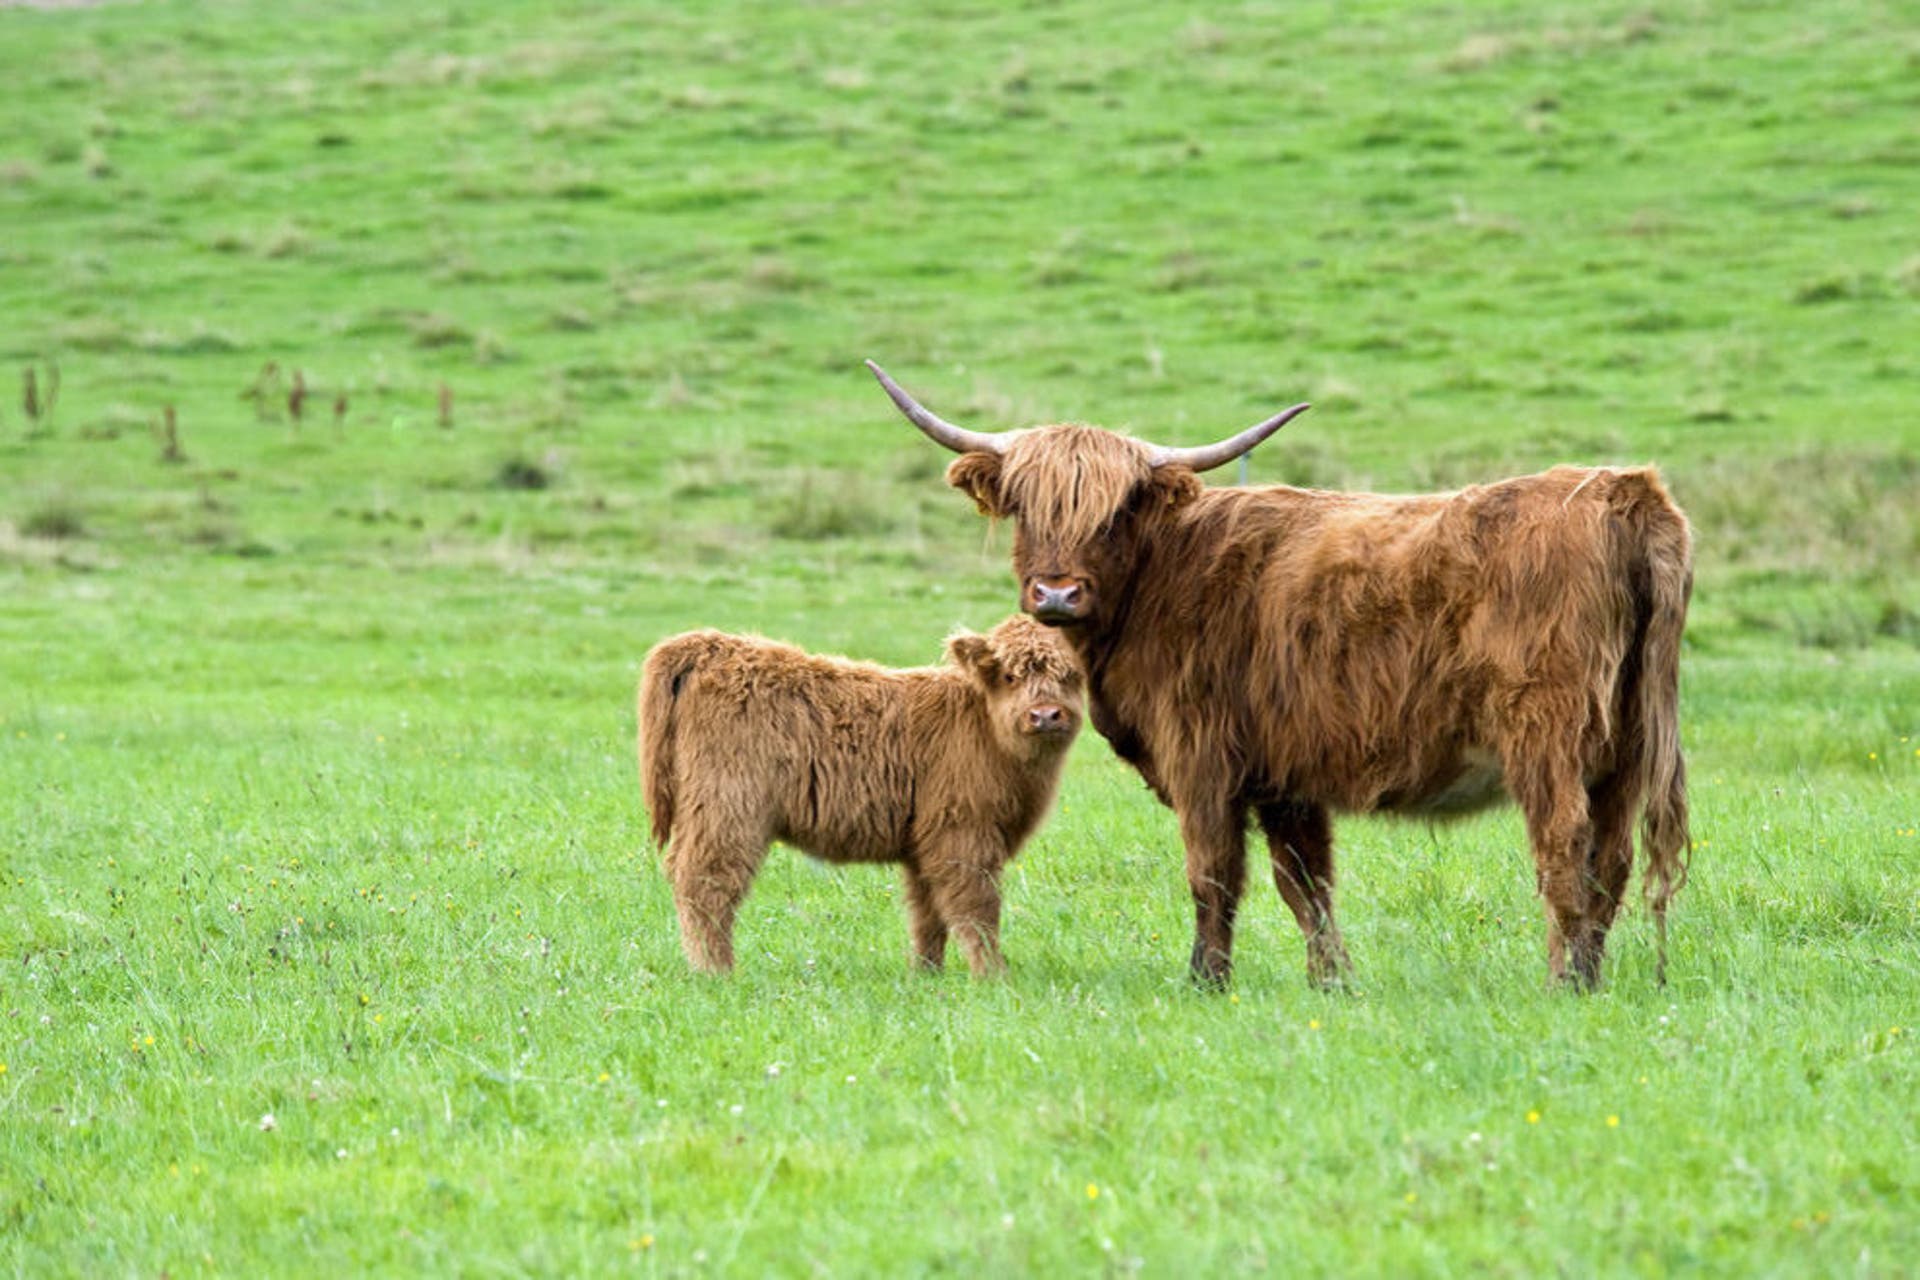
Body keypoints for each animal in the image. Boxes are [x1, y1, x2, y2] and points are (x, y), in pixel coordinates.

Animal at [638, 616, 1083, 975]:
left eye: (1071, 675)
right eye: (1010, 676)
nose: (1046, 715)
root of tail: (714, 644)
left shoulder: (924, 845)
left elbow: (927, 913)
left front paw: (927, 975)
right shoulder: (962, 834)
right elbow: (976, 908)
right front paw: (993, 975)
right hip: (729, 807)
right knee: (705, 884)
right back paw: (716, 972)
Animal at [867, 360, 1692, 990]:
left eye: (1116, 510)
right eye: (1024, 504)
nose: (1056, 595)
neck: (1163, 575)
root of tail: (1622, 491)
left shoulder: (1203, 758)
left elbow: (1213, 873)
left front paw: (1205, 982)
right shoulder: (1287, 776)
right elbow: (1307, 885)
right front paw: (1333, 983)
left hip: (1548, 736)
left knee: (1565, 850)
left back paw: (1563, 982)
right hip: (1628, 746)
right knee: (1612, 859)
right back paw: (1590, 975)